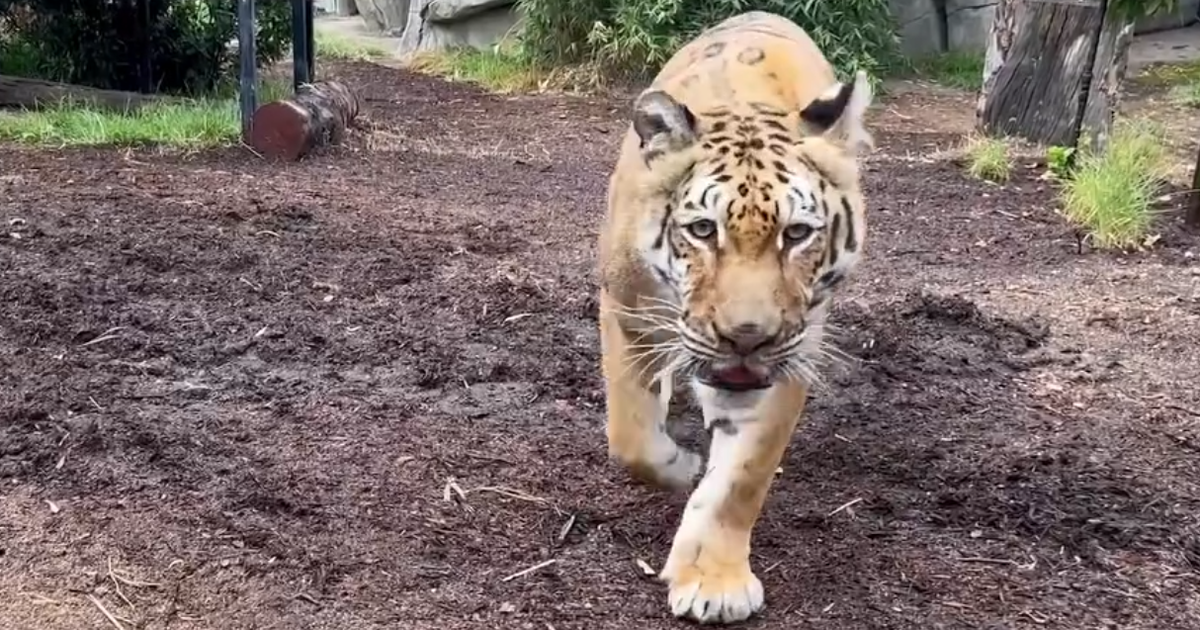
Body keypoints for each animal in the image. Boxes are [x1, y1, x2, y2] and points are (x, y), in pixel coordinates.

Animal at [595, 10, 874, 625]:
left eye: (797, 234)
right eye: (704, 230)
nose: (747, 337)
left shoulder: (791, 355)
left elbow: (741, 478)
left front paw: (714, 582)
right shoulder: (626, 309)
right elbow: (631, 434)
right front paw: (679, 466)